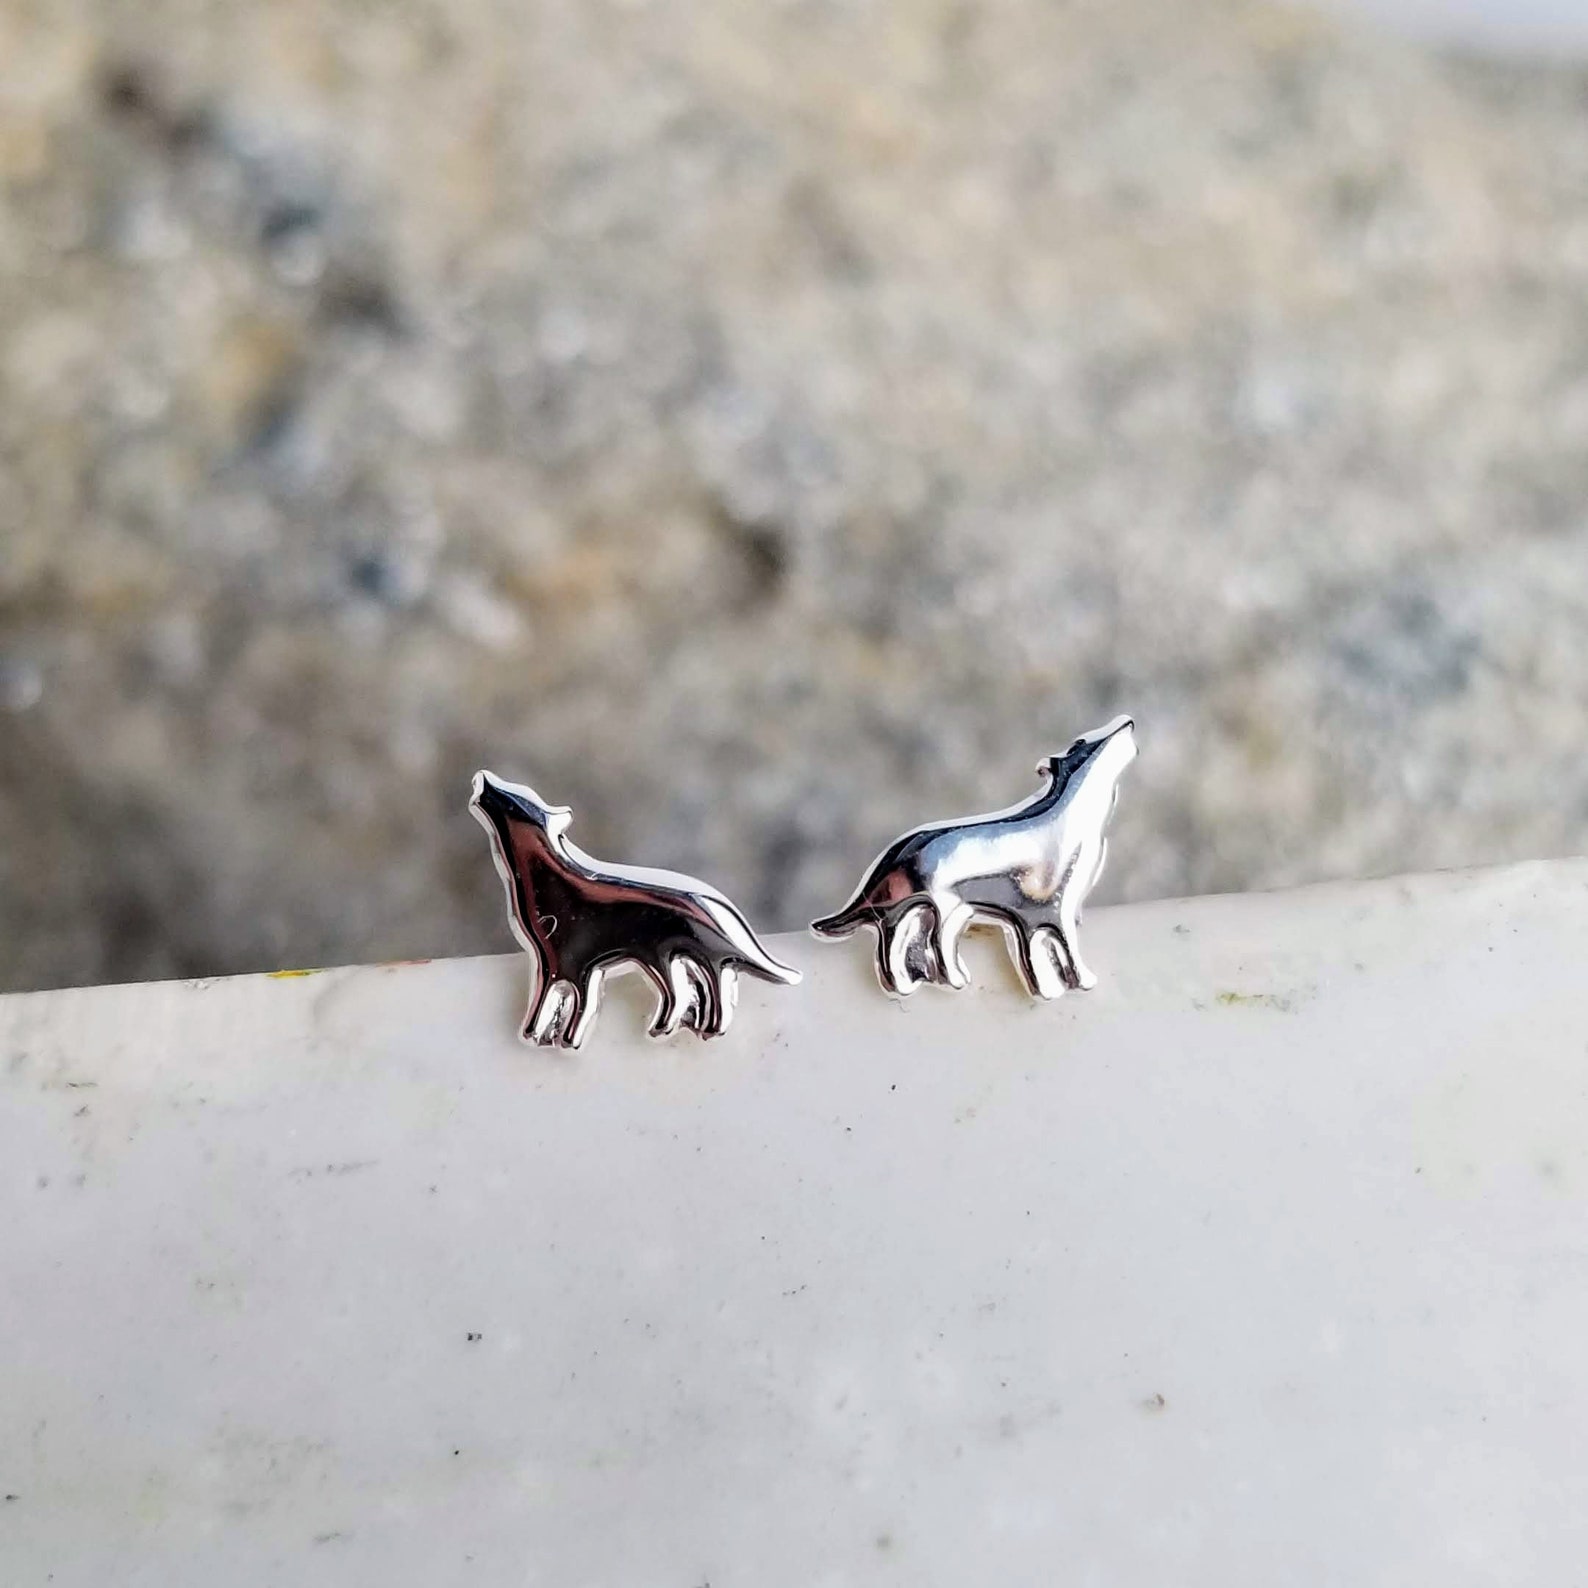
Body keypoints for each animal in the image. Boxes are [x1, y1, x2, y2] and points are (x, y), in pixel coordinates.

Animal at [471, 771, 801, 1048]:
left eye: (516, 801)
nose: (482, 777)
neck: (550, 880)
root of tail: (713, 902)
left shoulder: (578, 965)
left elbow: (581, 1005)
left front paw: (568, 1040)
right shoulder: (551, 964)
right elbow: (544, 1002)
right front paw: (535, 1035)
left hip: (670, 957)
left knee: (691, 993)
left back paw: (686, 1028)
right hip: (677, 958)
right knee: (697, 990)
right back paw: (694, 1026)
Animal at [810, 717, 1136, 999]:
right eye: (1078, 743)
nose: (1127, 722)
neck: (1069, 820)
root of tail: (900, 849)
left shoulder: (1037, 915)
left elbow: (1043, 951)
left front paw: (1053, 987)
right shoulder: (1045, 910)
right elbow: (1060, 949)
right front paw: (1071, 984)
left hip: (921, 910)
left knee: (899, 942)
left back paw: (912, 982)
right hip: (942, 908)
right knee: (929, 945)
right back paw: (941, 981)